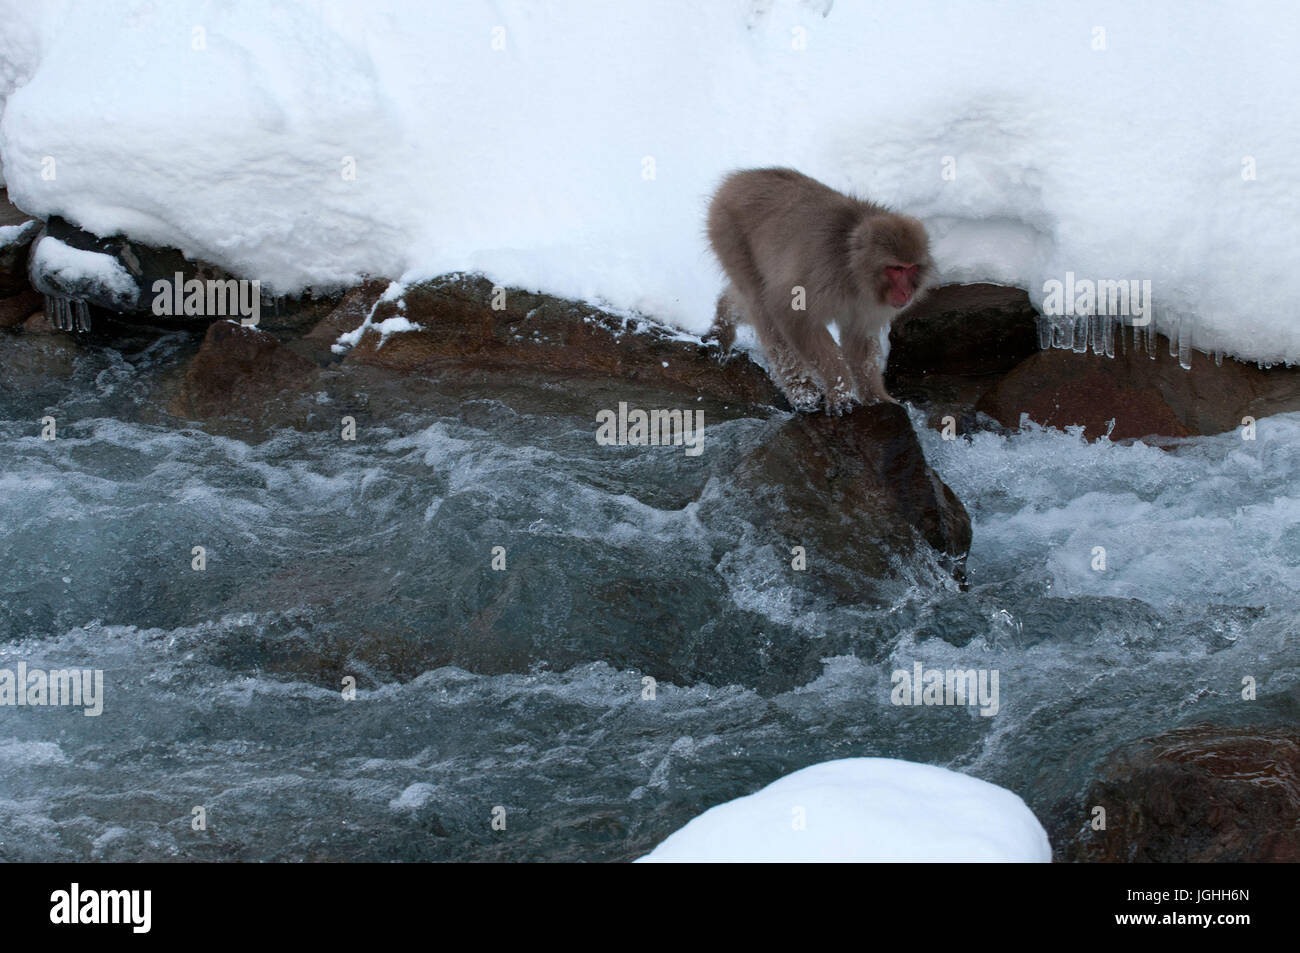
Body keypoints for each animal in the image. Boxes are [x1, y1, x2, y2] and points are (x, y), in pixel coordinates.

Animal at [705, 167, 932, 414]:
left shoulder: (868, 305)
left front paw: (875, 397)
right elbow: (792, 314)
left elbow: (859, 338)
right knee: (762, 305)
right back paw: (802, 392)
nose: (906, 292)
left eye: (911, 268)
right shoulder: (823, 275)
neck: (853, 271)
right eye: (896, 268)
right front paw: (840, 390)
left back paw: (721, 325)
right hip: (729, 232)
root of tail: (737, 179)